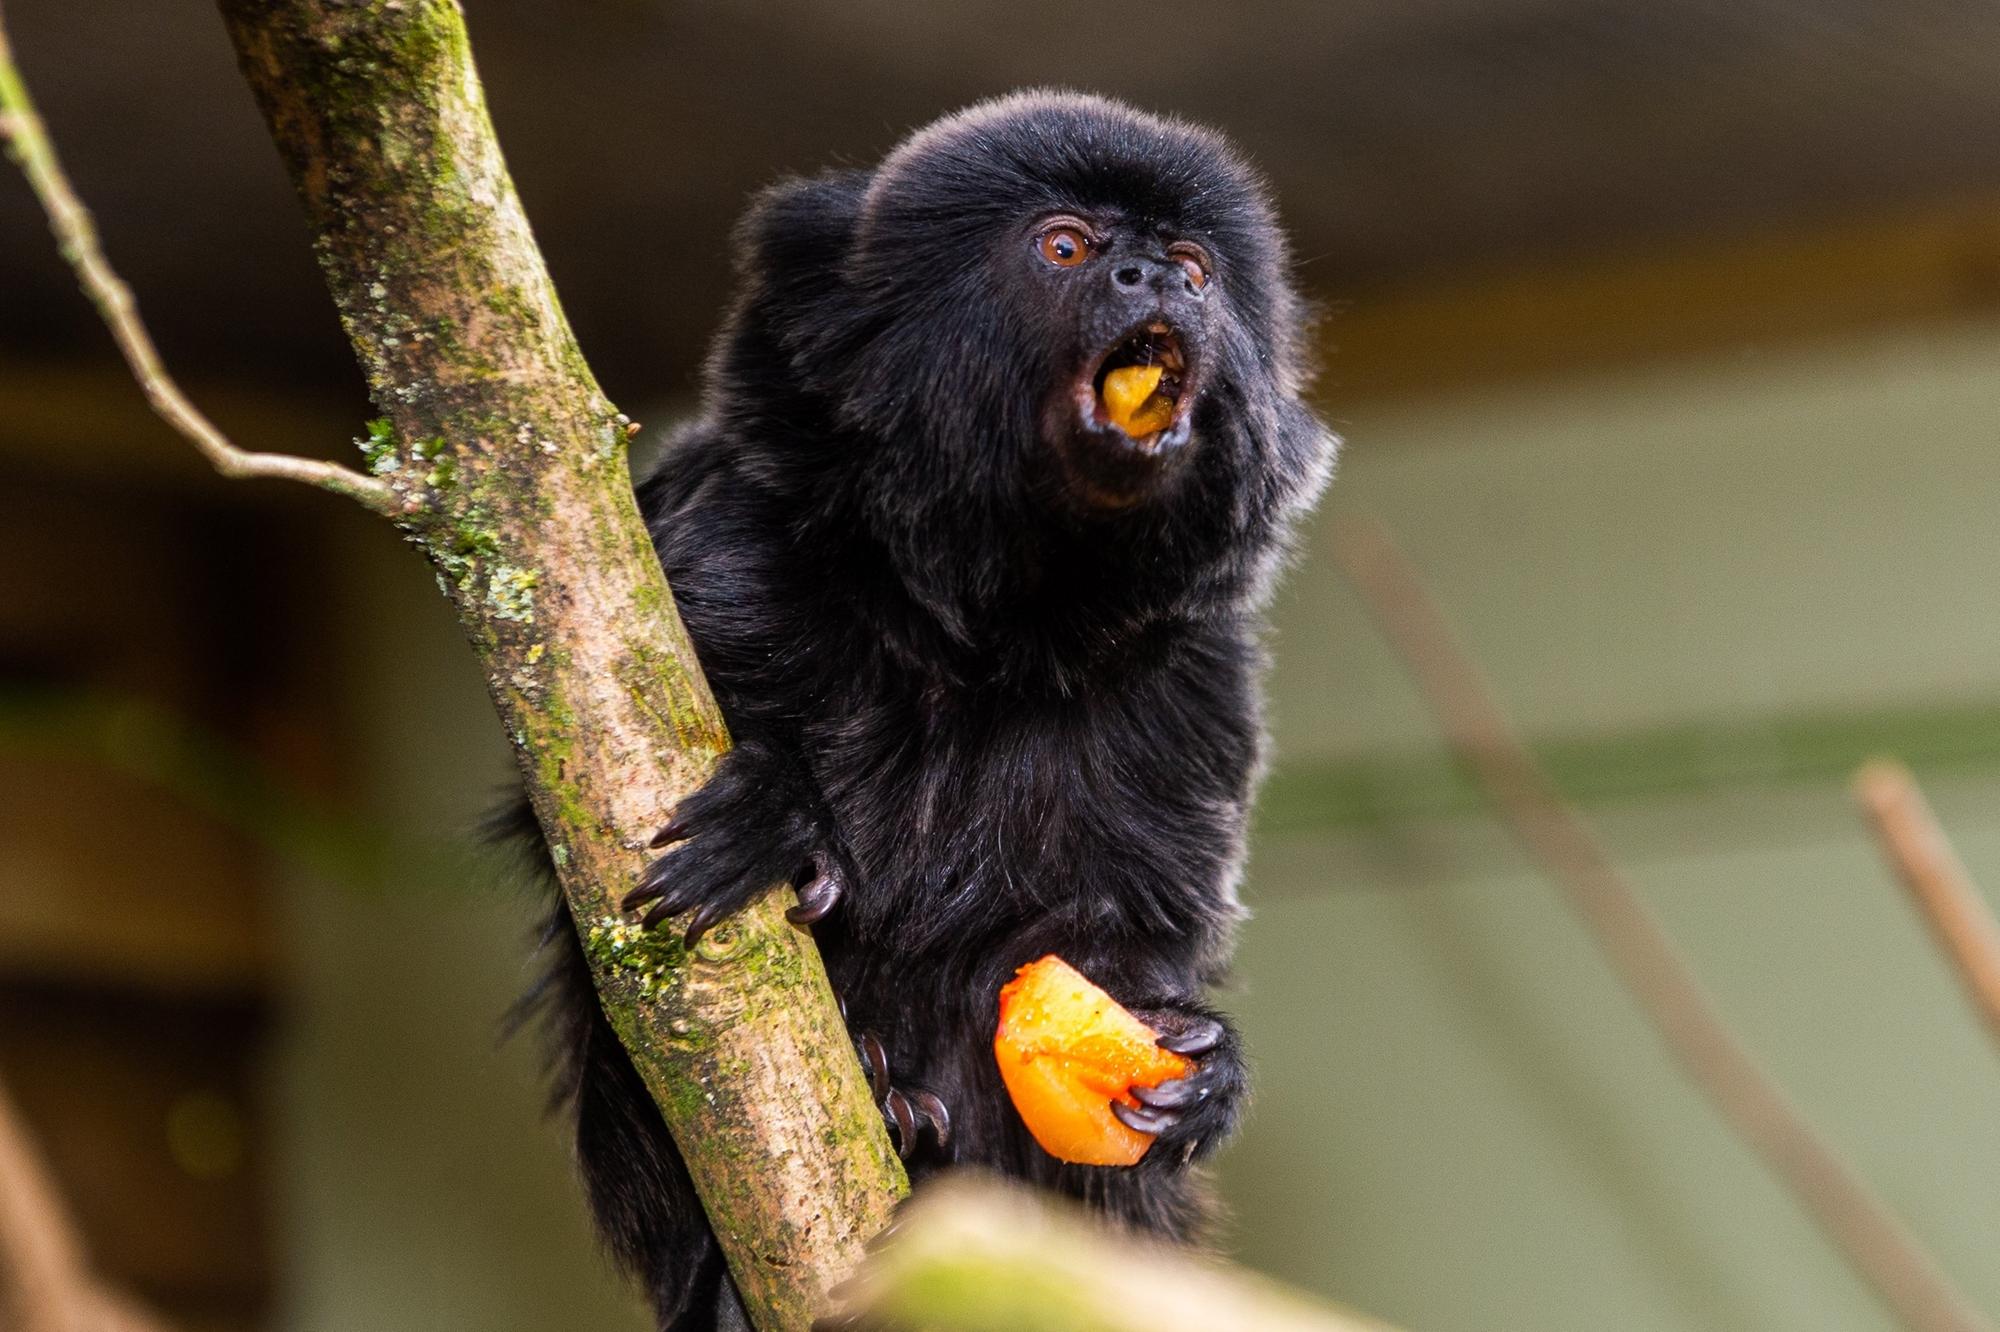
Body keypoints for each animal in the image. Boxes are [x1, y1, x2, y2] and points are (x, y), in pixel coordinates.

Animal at [503, 89, 1336, 1329]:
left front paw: (1201, 1067)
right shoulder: (725, 547)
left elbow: (1112, 932)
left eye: (1194, 266)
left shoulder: (1195, 686)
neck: (989, 632)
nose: (1152, 277)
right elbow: (575, 822)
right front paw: (777, 815)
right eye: (1064, 249)